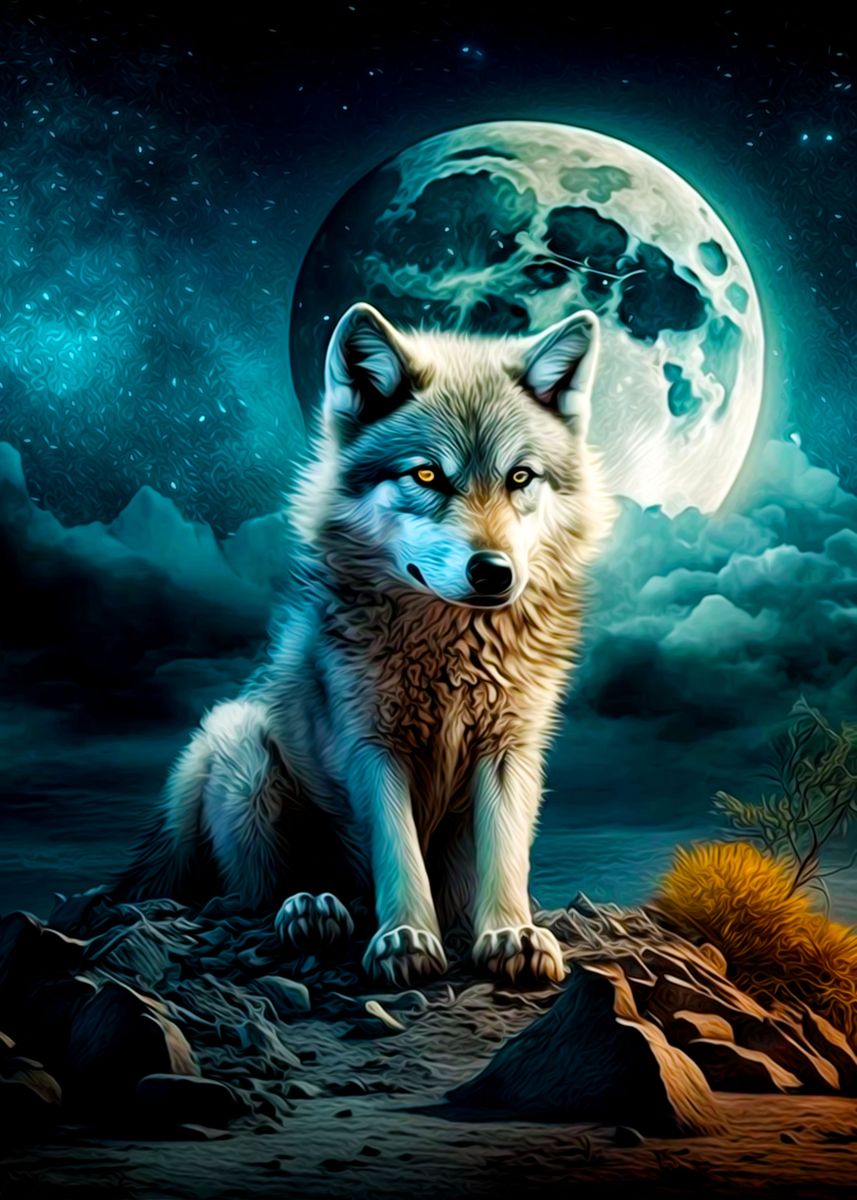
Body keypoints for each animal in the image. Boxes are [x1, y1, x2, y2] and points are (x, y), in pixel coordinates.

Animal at [122, 301, 617, 986]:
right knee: (250, 896)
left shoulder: (510, 748)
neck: (451, 651)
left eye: (521, 477)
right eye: (427, 474)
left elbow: (506, 852)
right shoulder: (371, 747)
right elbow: (397, 849)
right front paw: (405, 939)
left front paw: (511, 934)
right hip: (241, 744)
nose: (494, 572)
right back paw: (312, 909)